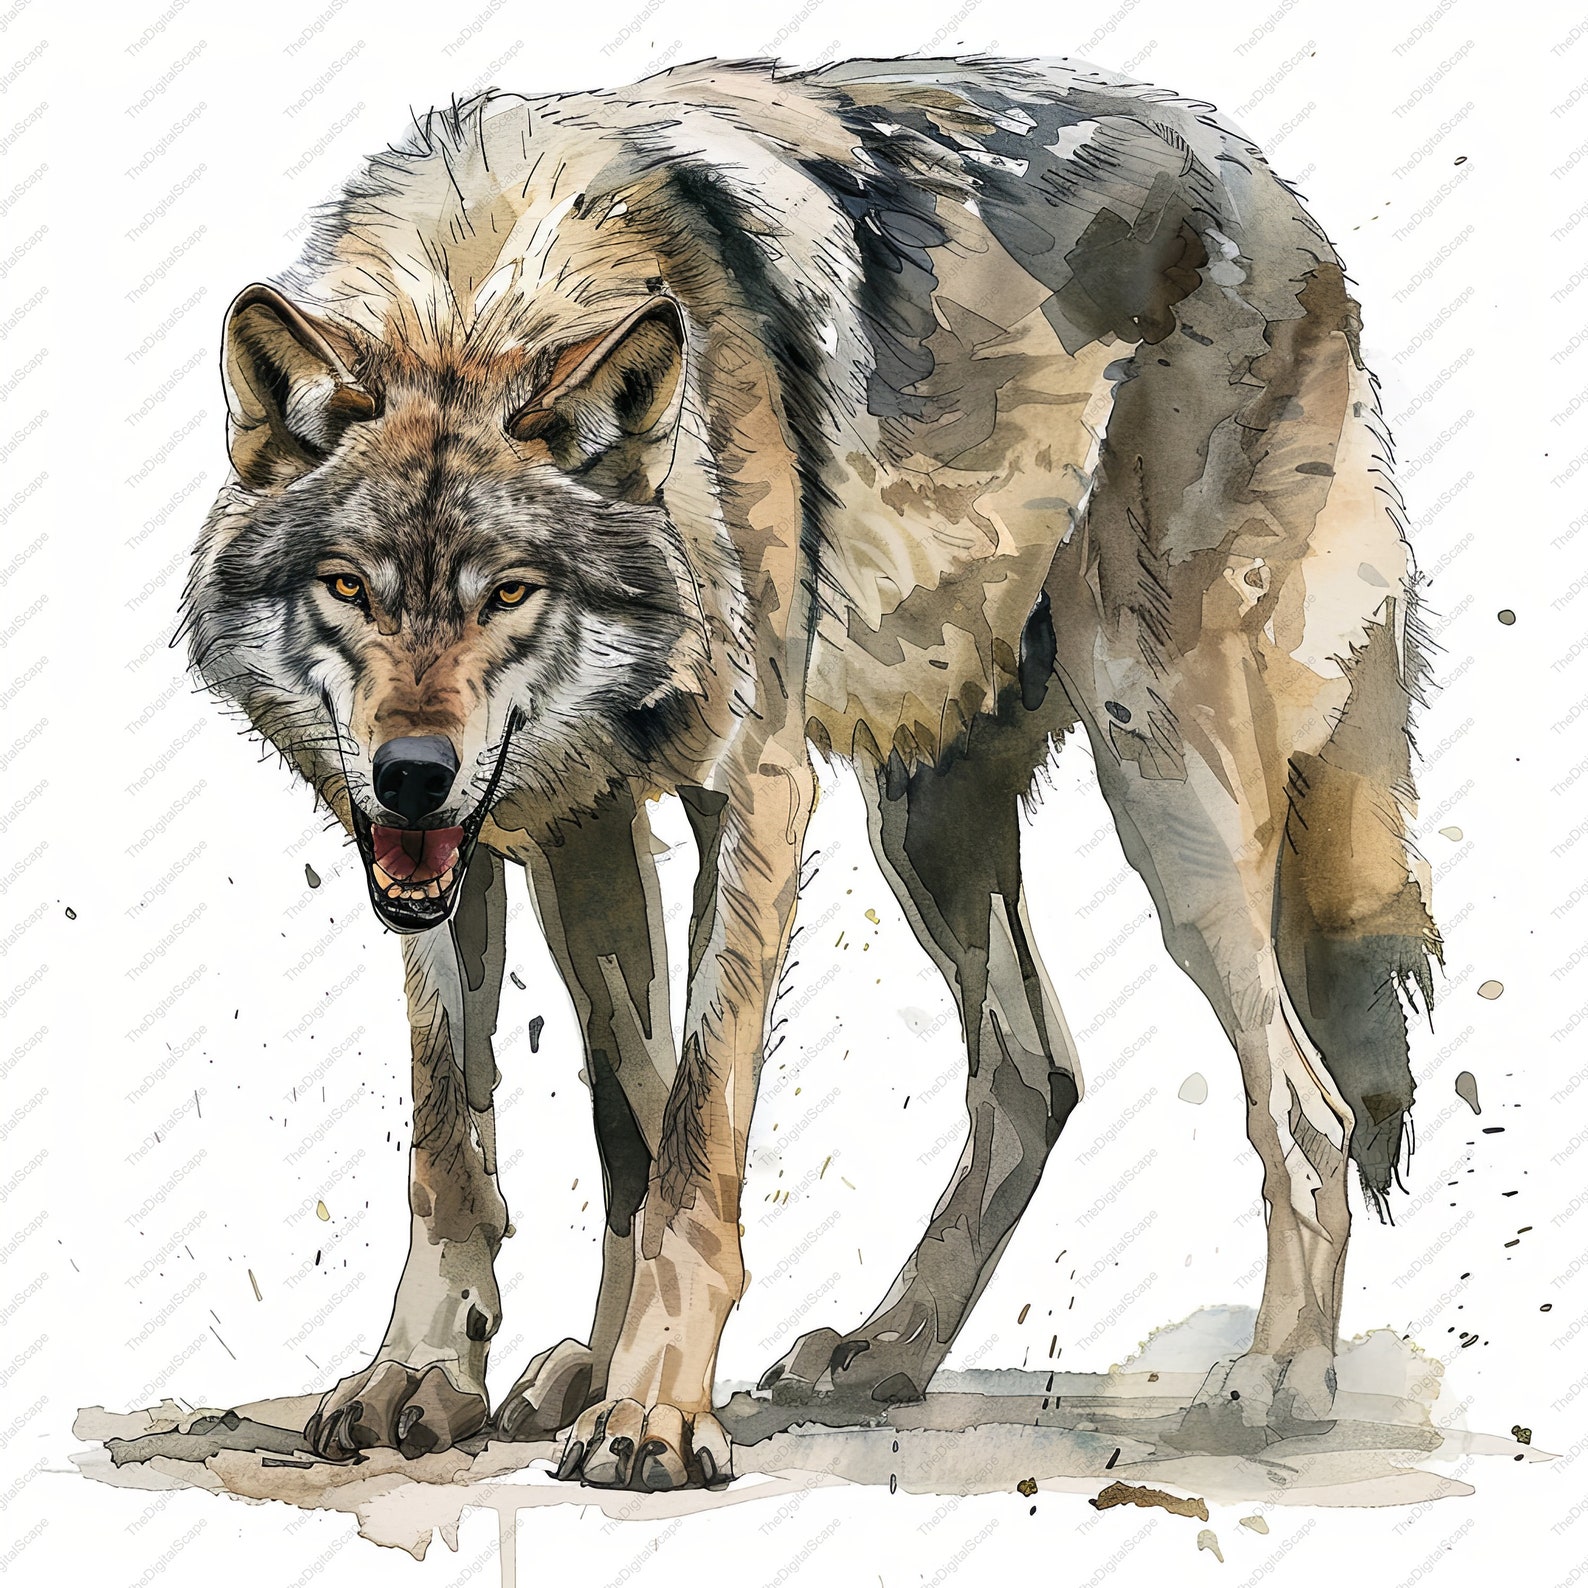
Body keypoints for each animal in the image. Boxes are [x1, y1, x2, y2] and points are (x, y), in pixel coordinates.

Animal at [183, 55, 1440, 1490]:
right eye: (350, 588)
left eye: (510, 590)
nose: (409, 777)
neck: (484, 283)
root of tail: (1284, 201)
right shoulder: (555, 834)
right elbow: (517, 1133)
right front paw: (444, 1378)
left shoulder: (753, 792)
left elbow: (692, 1138)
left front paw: (652, 1409)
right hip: (929, 826)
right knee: (1036, 1076)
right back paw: (885, 1355)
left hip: (1162, 774)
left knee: (1308, 1107)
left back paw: (1278, 1384)